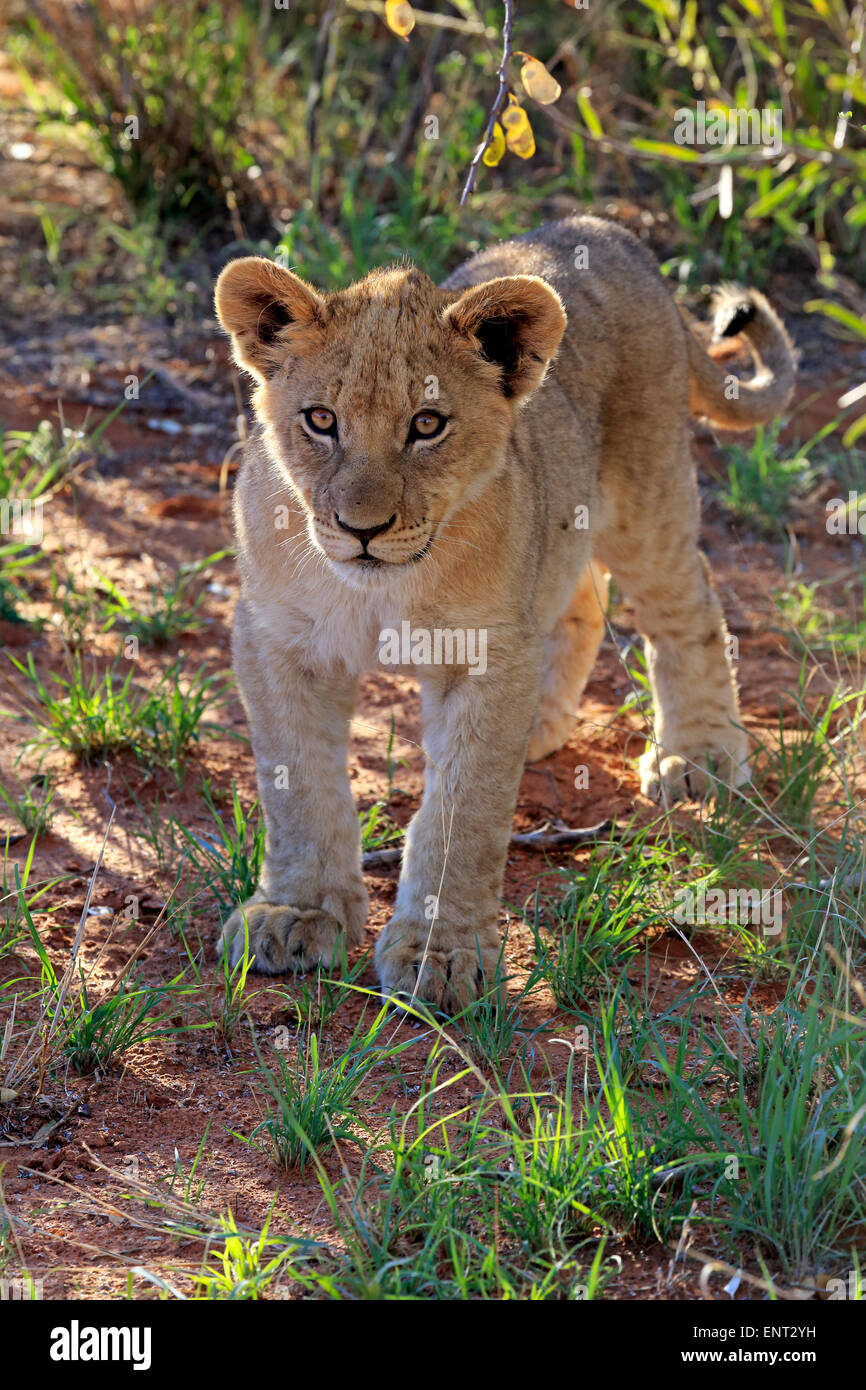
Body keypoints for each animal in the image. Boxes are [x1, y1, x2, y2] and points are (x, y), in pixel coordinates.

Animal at [213, 215, 795, 1010]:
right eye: (321, 420)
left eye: (428, 424)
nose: (361, 528)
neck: (379, 588)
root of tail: (610, 233)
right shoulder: (276, 637)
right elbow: (297, 785)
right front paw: (294, 914)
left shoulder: (484, 657)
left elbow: (465, 810)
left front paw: (442, 953)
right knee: (579, 602)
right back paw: (545, 723)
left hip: (647, 500)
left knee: (688, 602)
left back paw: (698, 753)